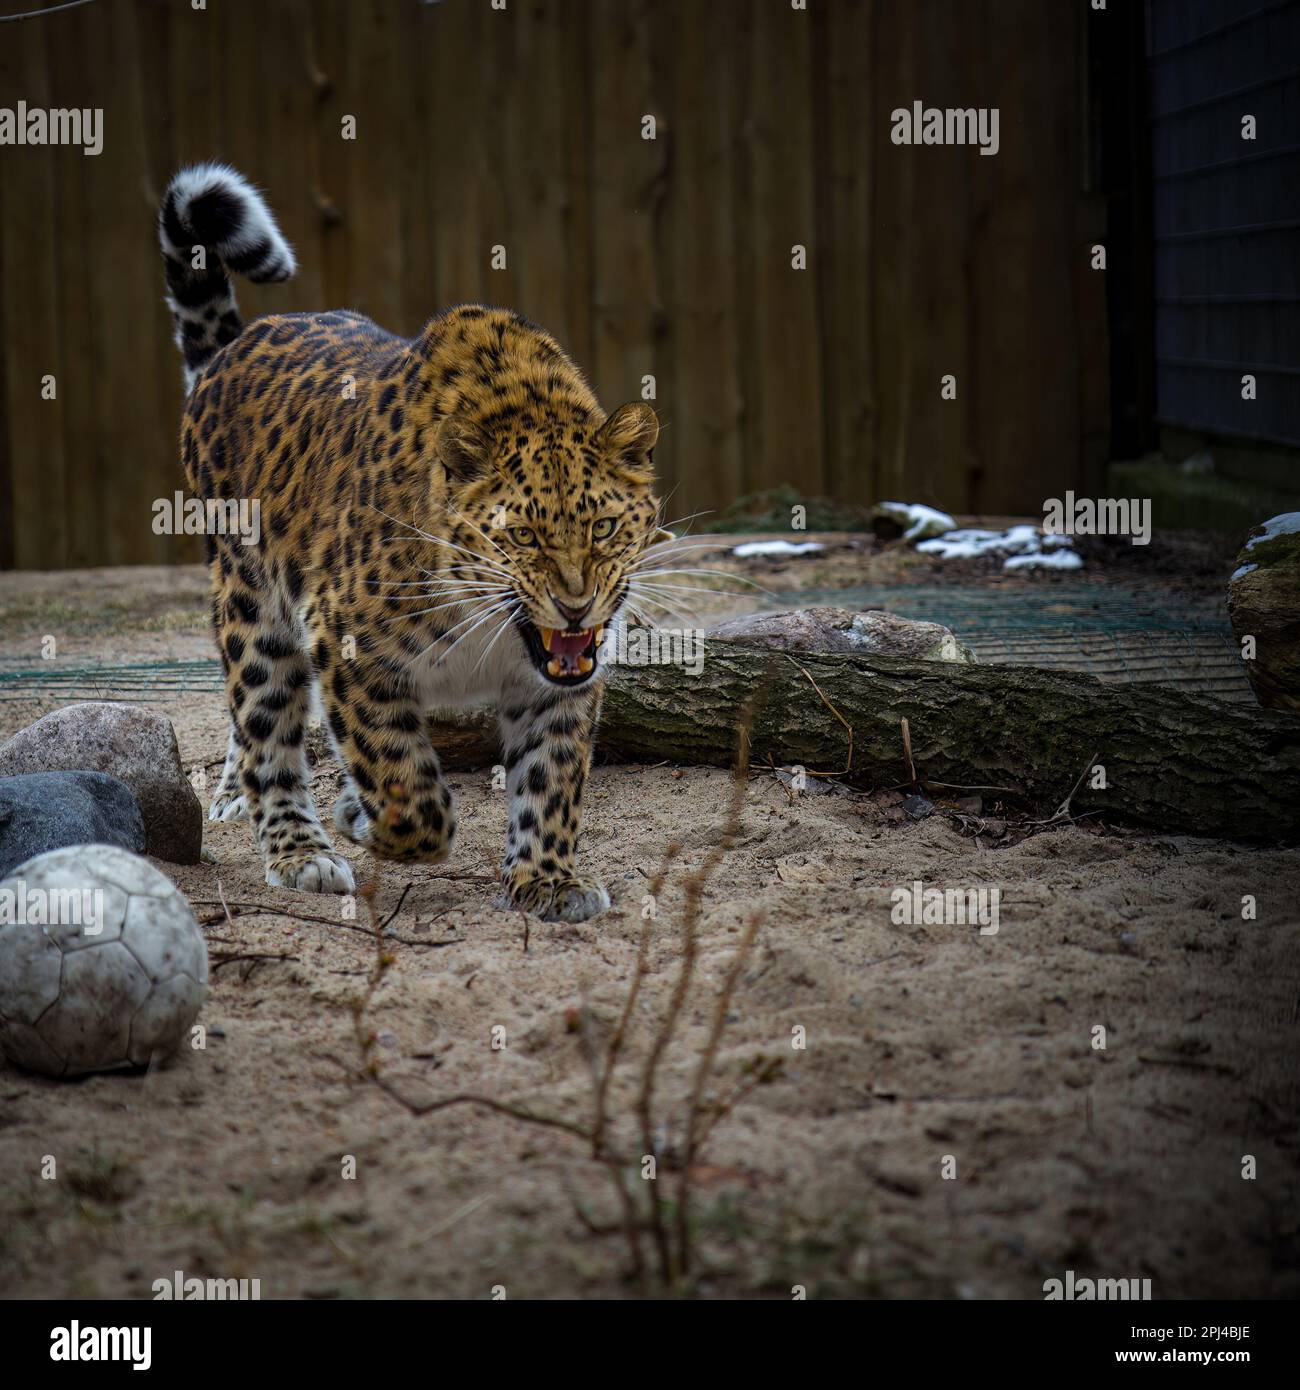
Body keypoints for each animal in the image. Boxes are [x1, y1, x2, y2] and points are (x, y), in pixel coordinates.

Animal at [158, 163, 669, 923]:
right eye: (520, 535)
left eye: (603, 527)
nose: (576, 606)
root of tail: (231, 351)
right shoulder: (343, 640)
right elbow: (403, 783)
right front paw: (365, 817)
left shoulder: (558, 685)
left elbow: (551, 780)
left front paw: (547, 878)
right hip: (255, 605)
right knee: (265, 722)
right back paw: (298, 849)